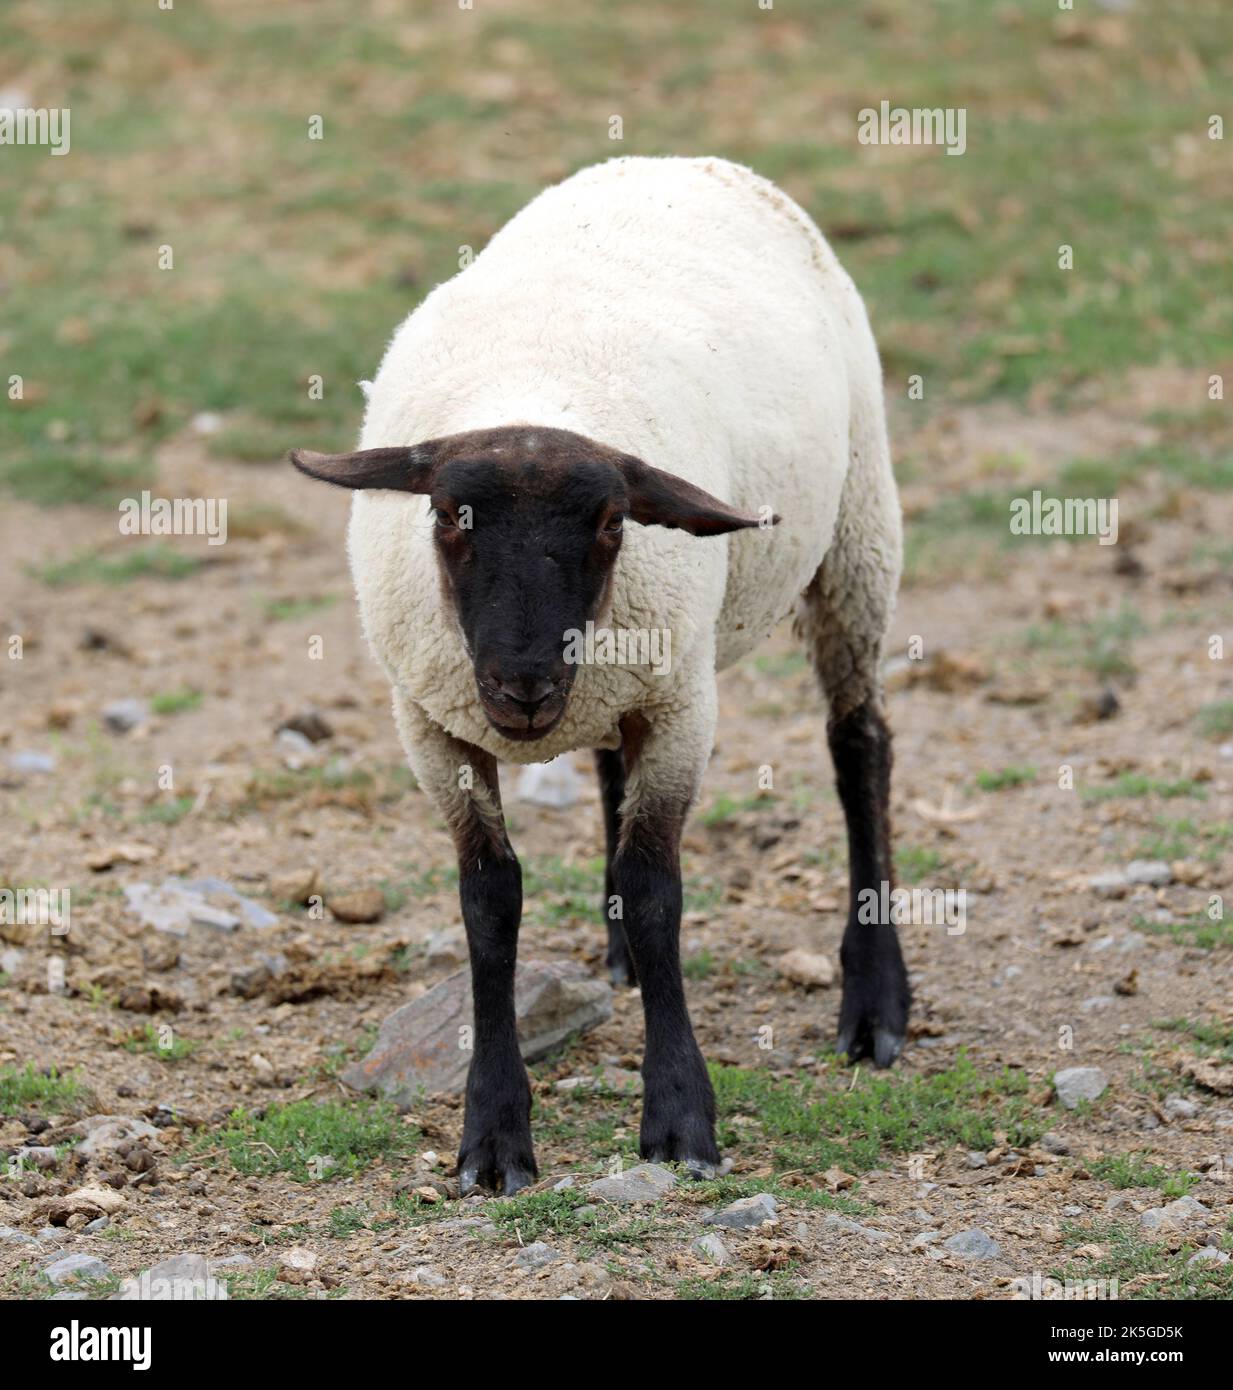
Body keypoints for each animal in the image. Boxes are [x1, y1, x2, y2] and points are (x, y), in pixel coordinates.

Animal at [290, 156, 908, 1195]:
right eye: (447, 514)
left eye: (614, 522)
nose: (523, 684)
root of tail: (676, 160)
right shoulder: (430, 724)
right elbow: (488, 902)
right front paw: (494, 1137)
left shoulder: (682, 702)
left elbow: (658, 889)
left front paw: (679, 1119)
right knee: (613, 771)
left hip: (857, 527)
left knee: (858, 746)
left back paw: (875, 1002)